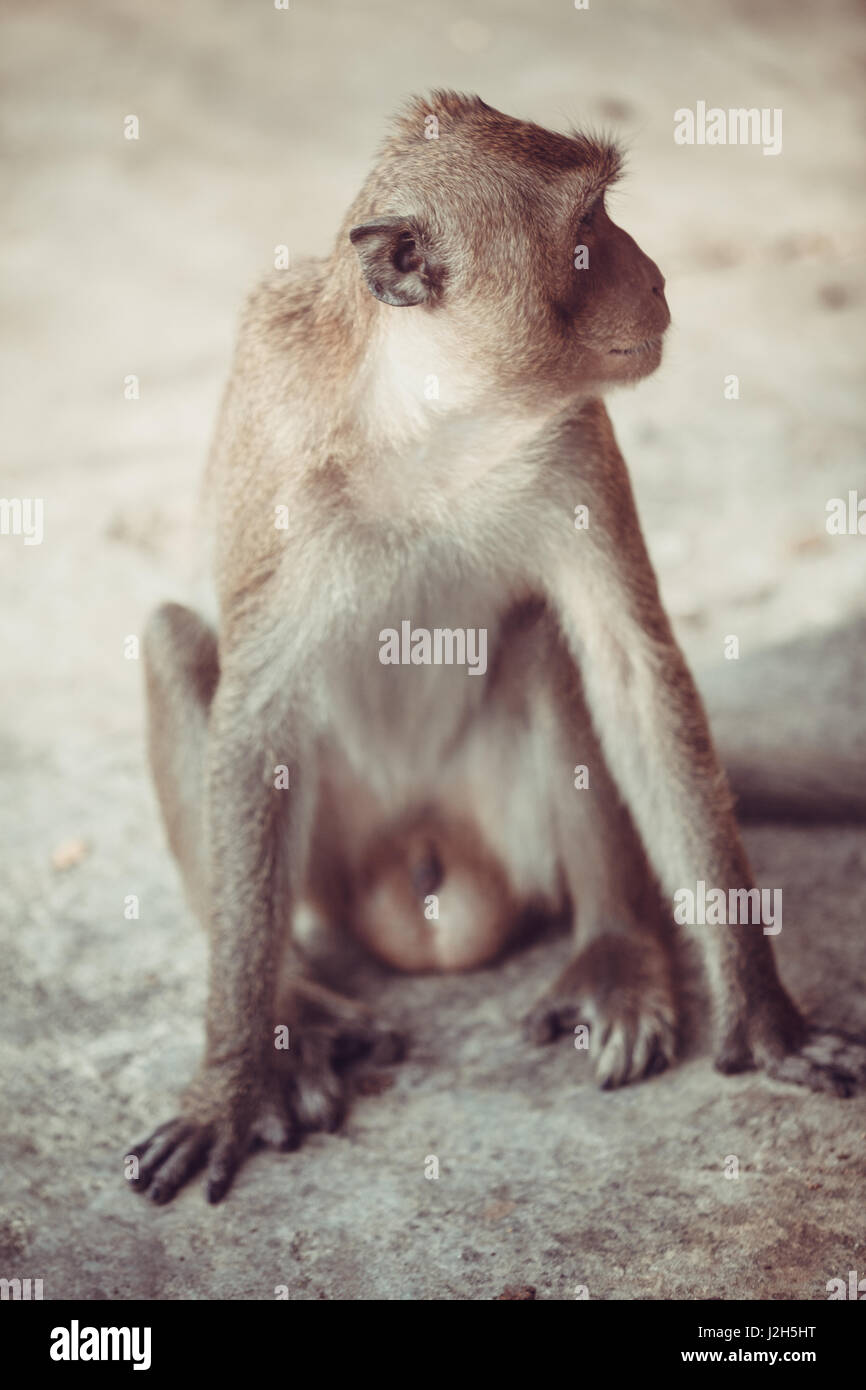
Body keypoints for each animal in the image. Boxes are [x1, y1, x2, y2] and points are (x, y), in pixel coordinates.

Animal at [129, 91, 866, 1205]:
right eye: (587, 230)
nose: (655, 276)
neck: (425, 420)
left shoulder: (572, 438)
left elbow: (629, 668)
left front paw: (766, 1017)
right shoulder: (280, 439)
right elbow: (253, 725)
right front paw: (235, 1076)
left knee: (548, 641)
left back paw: (617, 953)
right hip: (332, 865)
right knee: (176, 644)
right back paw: (298, 1003)